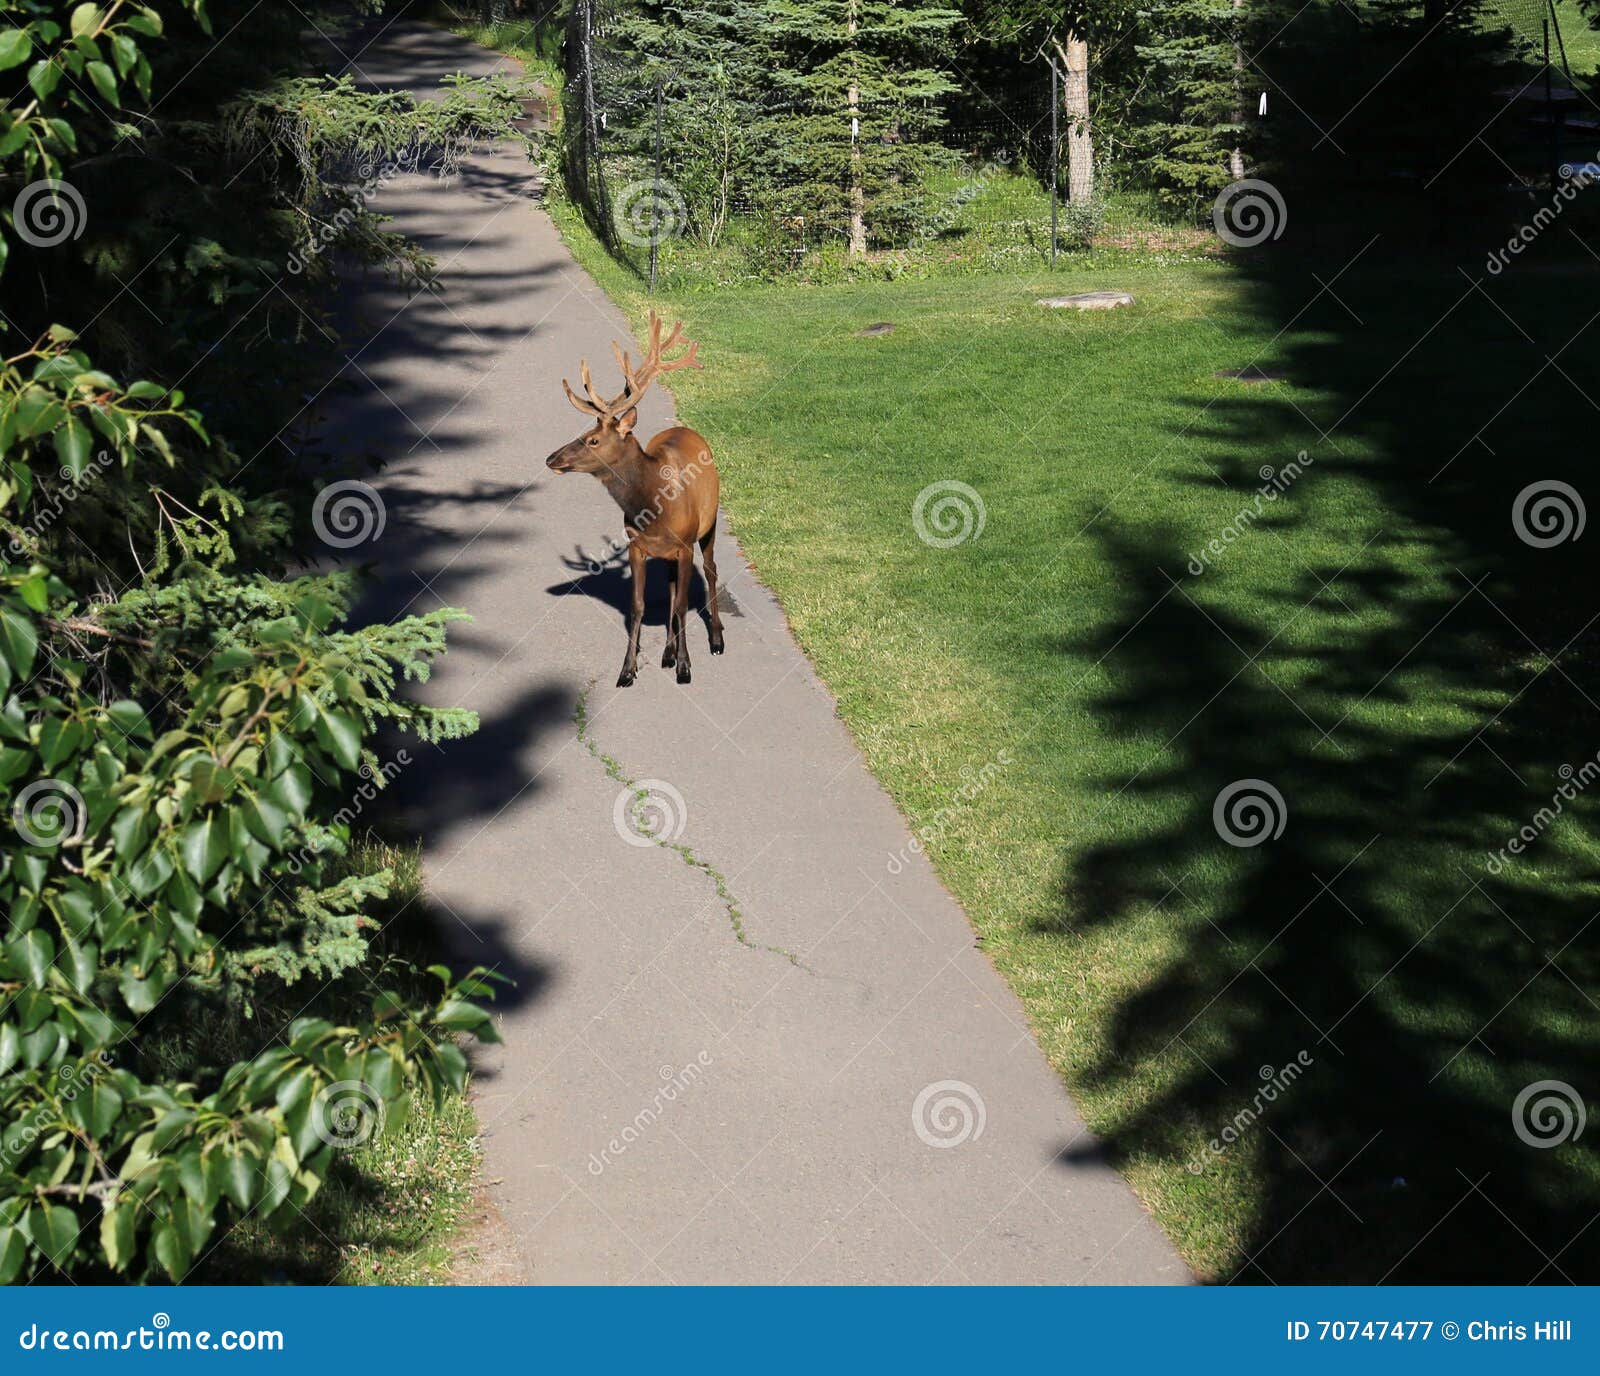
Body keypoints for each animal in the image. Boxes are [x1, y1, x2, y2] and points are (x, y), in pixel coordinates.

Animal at [545, 312, 725, 688]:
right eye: (583, 432)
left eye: (594, 440)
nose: (551, 458)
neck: (654, 507)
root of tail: (688, 430)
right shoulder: (637, 546)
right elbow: (639, 605)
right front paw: (628, 670)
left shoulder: (684, 544)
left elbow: (684, 601)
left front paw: (686, 667)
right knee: (670, 588)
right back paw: (668, 652)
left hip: (709, 523)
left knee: (711, 571)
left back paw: (716, 639)